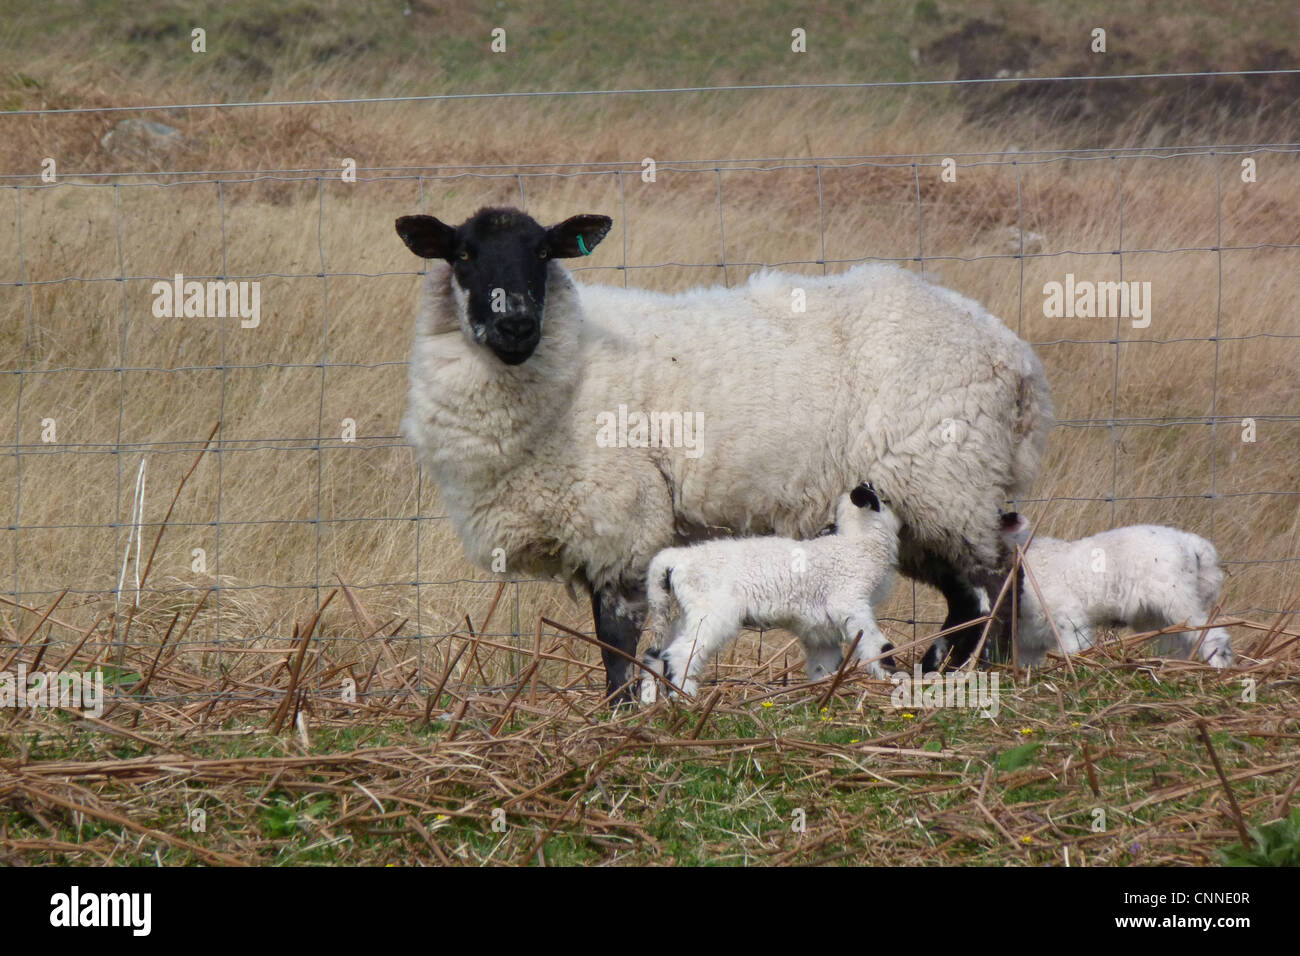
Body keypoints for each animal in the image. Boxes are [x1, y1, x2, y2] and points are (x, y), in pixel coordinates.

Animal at [639, 483, 901, 703]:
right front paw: (891, 681)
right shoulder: (850, 602)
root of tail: (674, 559)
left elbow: (823, 664)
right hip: (712, 612)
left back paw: (651, 702)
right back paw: (684, 699)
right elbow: (879, 646)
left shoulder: (821, 629)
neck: (860, 546)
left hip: (689, 612)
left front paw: (825, 691)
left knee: (656, 654)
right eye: (885, 498)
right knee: (681, 653)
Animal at [999, 513, 1235, 668]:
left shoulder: (1068, 616)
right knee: (1177, 644)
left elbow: (1075, 649)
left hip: (1179, 598)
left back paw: (1220, 666)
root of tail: (1191, 542)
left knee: (1211, 633)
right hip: (1155, 616)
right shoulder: (1027, 641)